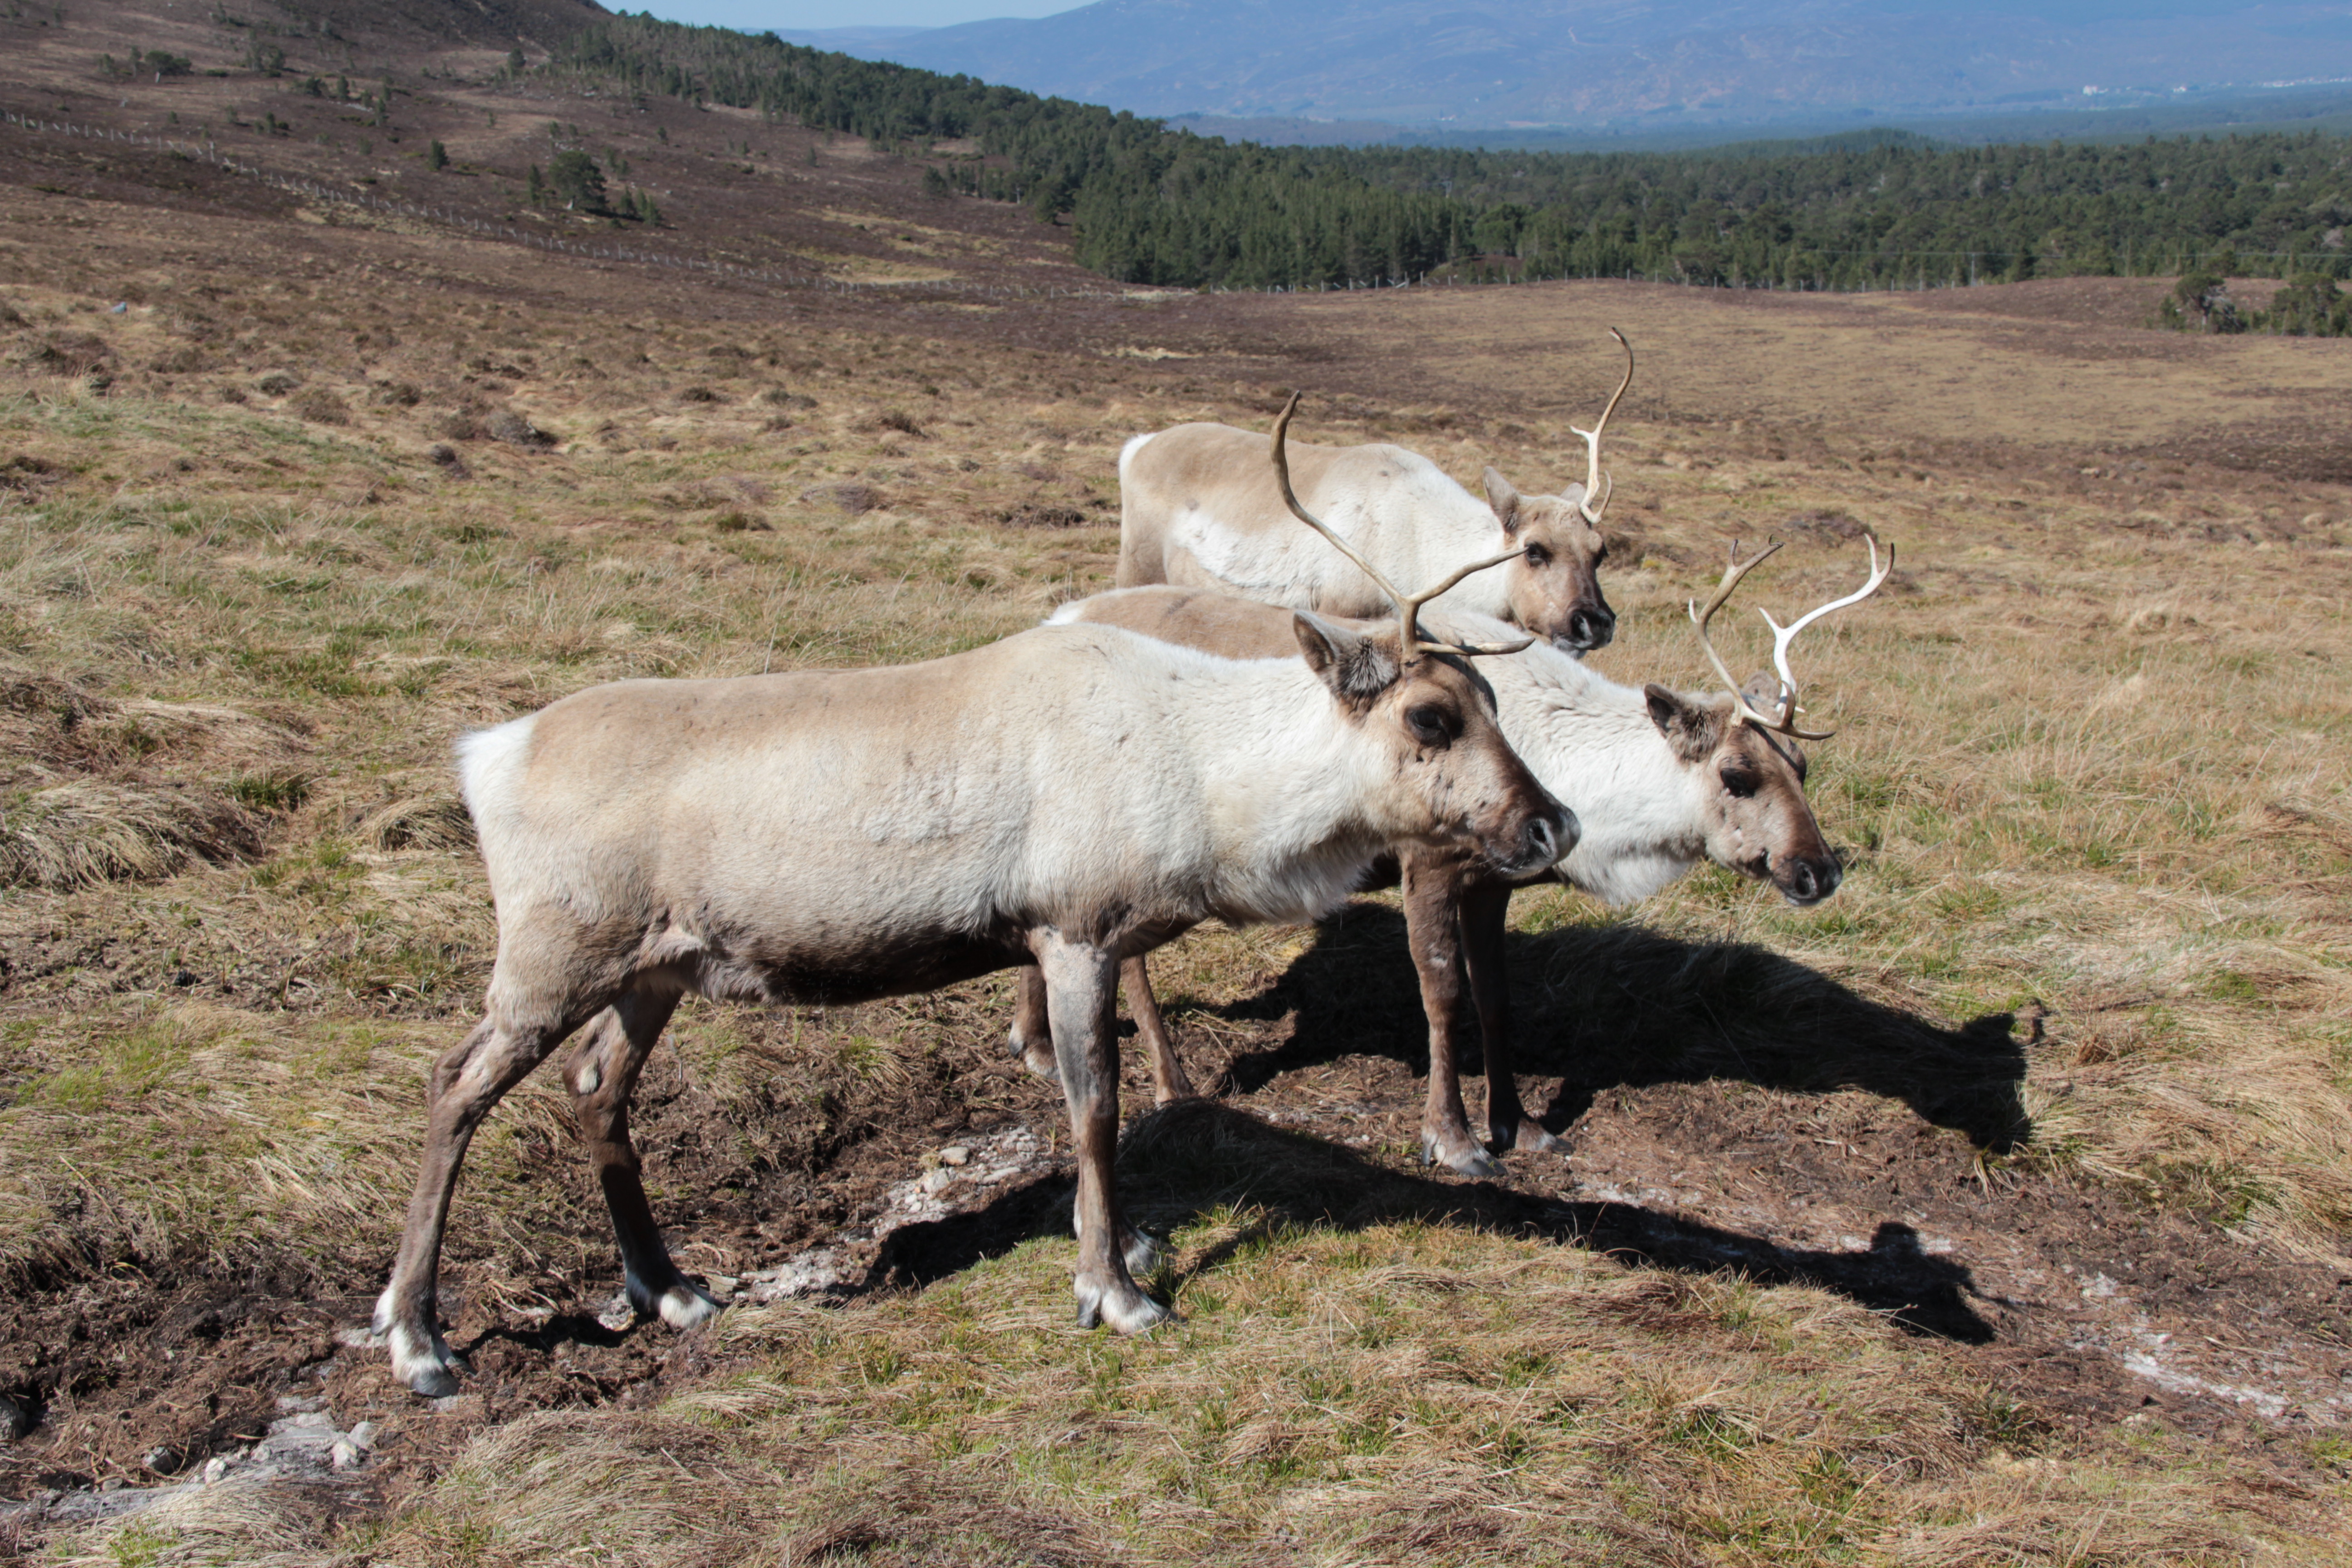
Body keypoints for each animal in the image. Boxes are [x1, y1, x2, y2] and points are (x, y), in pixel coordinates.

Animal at [371, 506, 1575, 1398]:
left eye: (1494, 697)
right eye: (1428, 716)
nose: (1551, 824)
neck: (1209, 776)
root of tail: (485, 756)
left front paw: (1123, 1247)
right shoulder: (1074, 928)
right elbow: (1093, 1109)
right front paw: (1115, 1292)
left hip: (652, 970)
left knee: (595, 1092)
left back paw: (669, 1288)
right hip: (551, 956)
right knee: (451, 1085)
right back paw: (418, 1339)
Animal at [1011, 480, 1891, 1177]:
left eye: (1804, 768)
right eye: (1738, 775)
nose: (1818, 869)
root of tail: (1056, 614)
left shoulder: (1494, 881)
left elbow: (1496, 998)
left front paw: (1521, 1124)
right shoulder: (1427, 861)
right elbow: (1441, 995)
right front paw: (1457, 1139)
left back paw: (1034, 1041)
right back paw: (1171, 1081)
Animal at [1114, 331, 1635, 657]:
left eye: (1601, 551)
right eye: (1534, 551)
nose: (1595, 622)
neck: (1428, 551)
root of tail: (1135, 448)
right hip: (1135, 566)